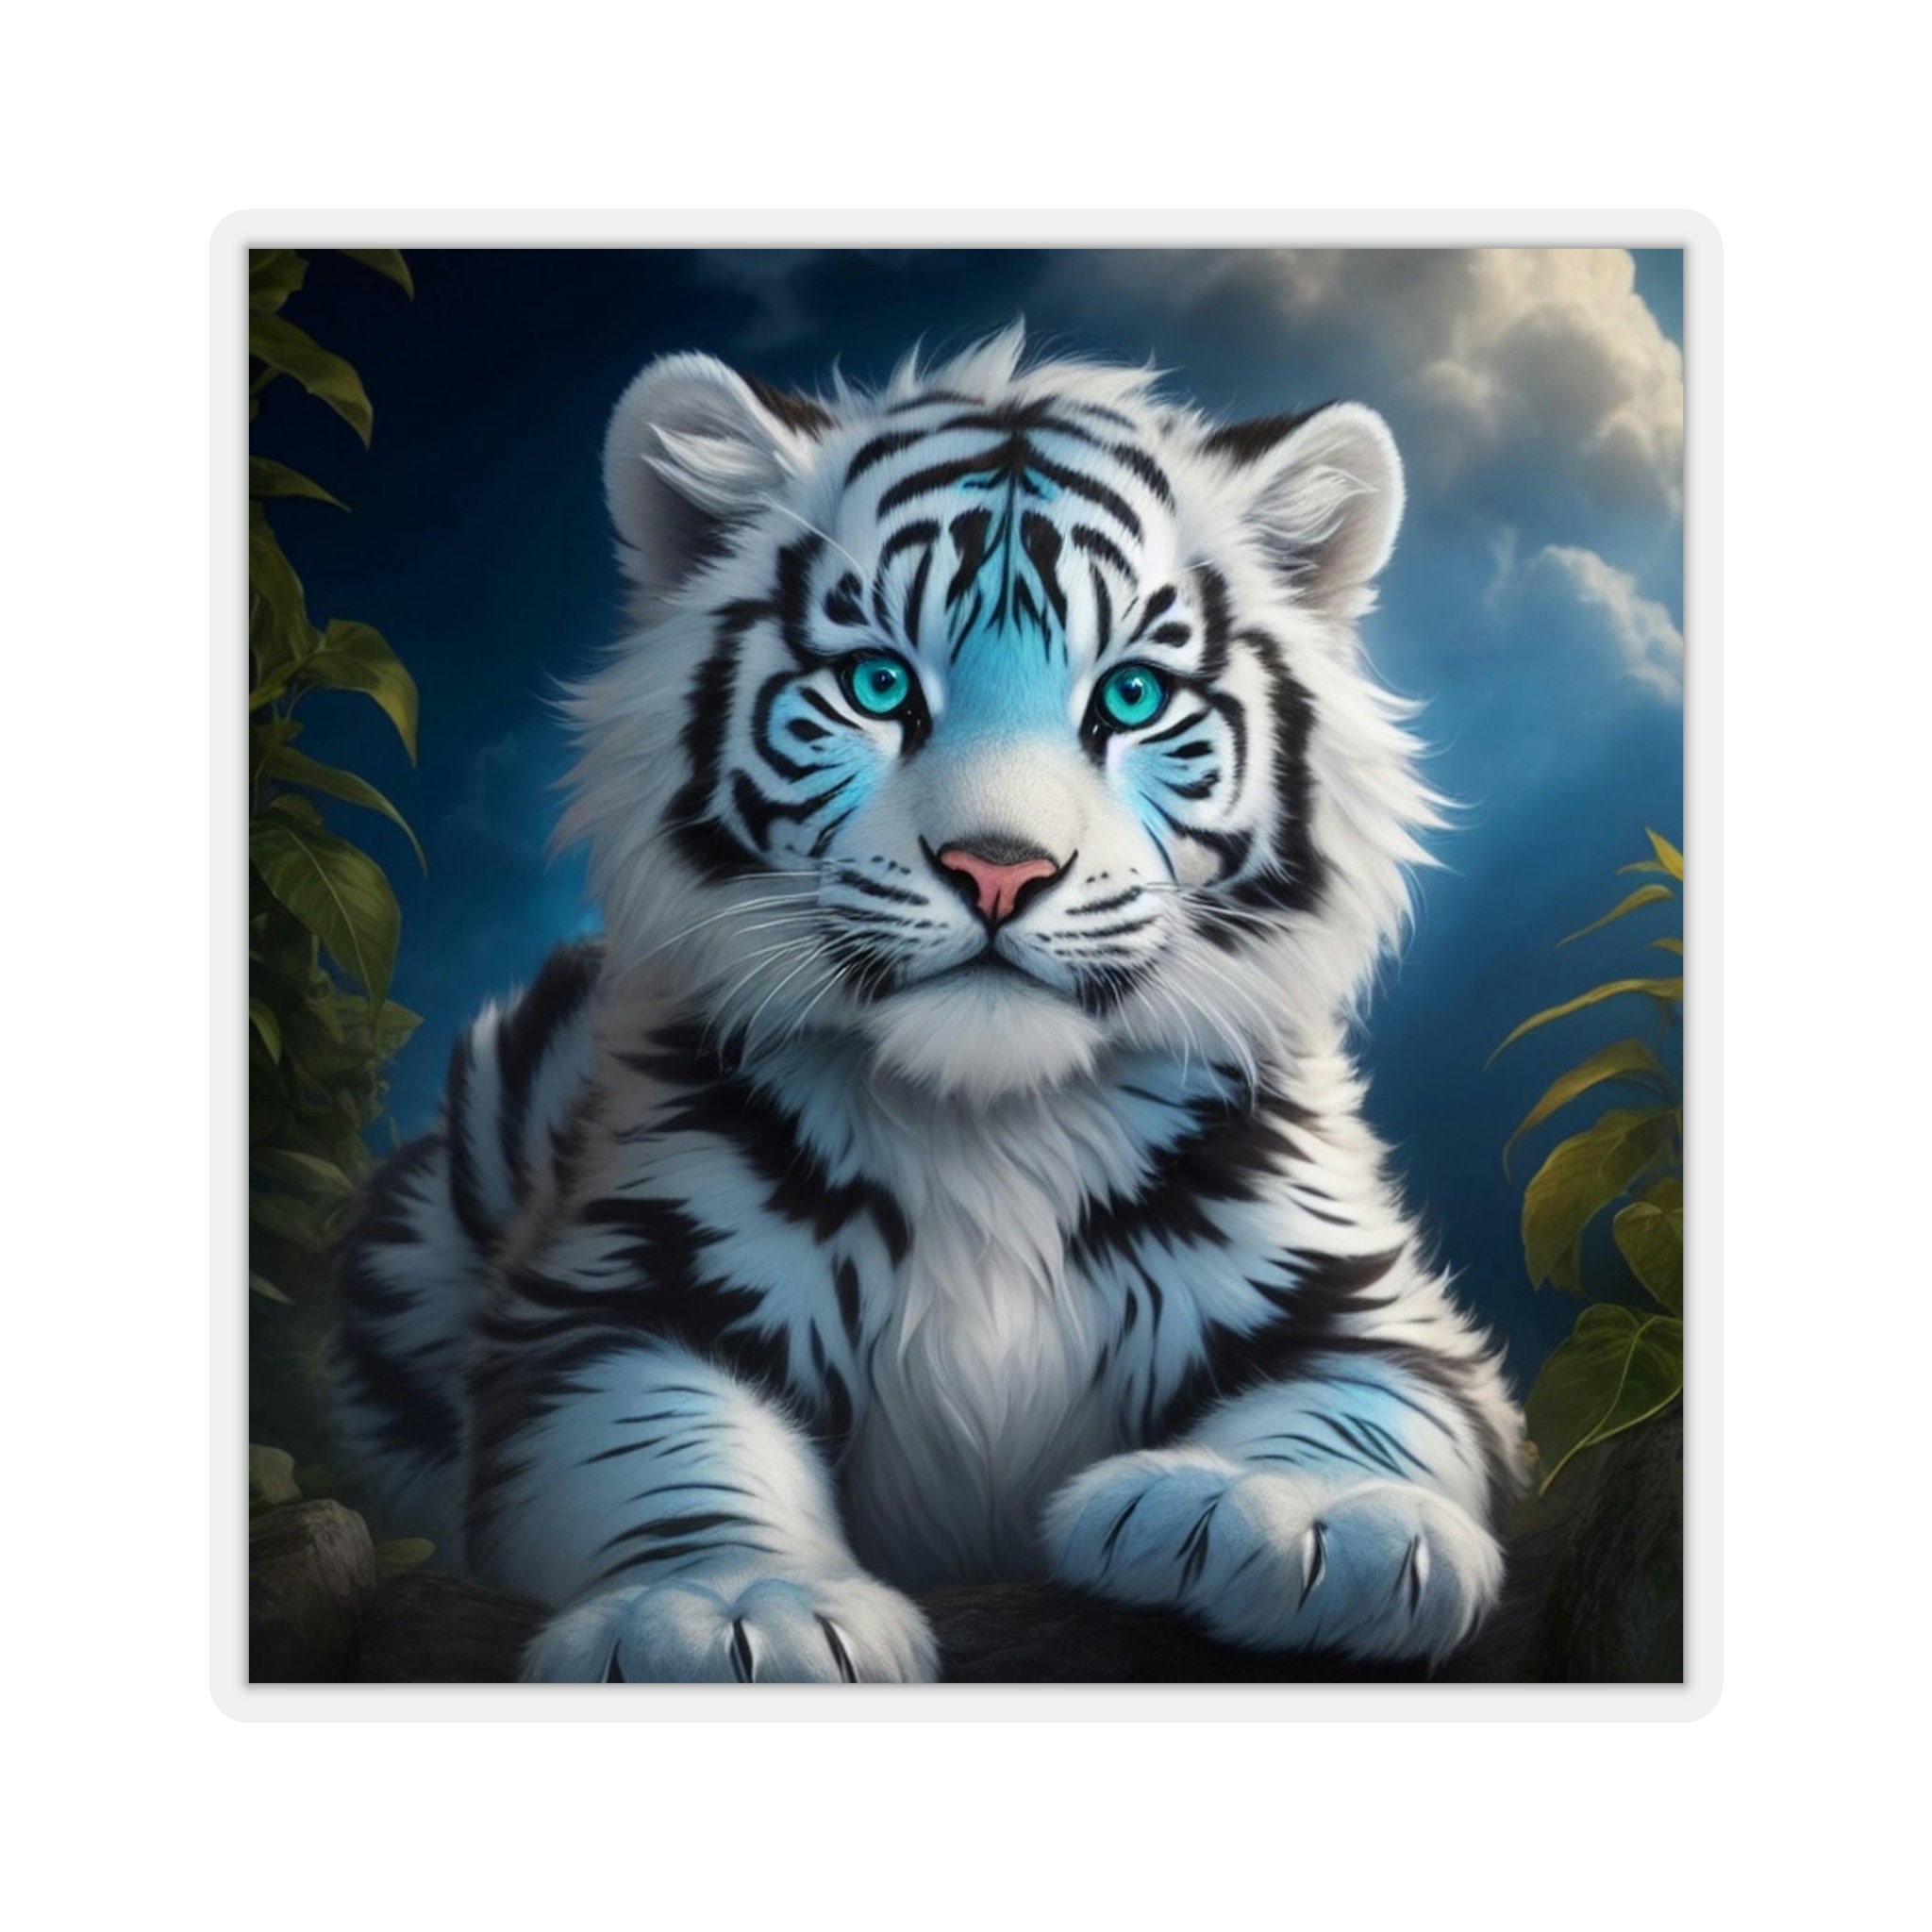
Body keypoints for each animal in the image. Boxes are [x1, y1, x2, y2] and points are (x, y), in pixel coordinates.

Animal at [332, 324, 1525, 1683]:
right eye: (874, 683)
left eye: (1128, 699)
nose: (998, 867)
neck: (988, 1122)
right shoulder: (614, 1294)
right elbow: (664, 1450)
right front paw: (728, 1613)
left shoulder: (1358, 1301)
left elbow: (1360, 1405)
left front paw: (1301, 1523)